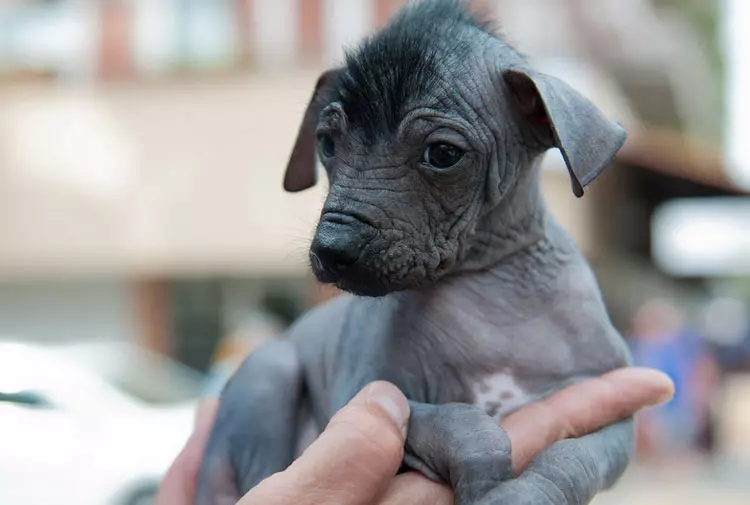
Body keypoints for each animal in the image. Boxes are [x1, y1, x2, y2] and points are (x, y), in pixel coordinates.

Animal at [194, 1, 636, 502]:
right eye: (326, 144)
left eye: (442, 154)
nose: (332, 247)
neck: (488, 277)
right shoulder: (361, 395)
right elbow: (462, 424)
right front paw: (486, 478)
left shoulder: (613, 411)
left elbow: (574, 458)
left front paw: (526, 492)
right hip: (270, 368)